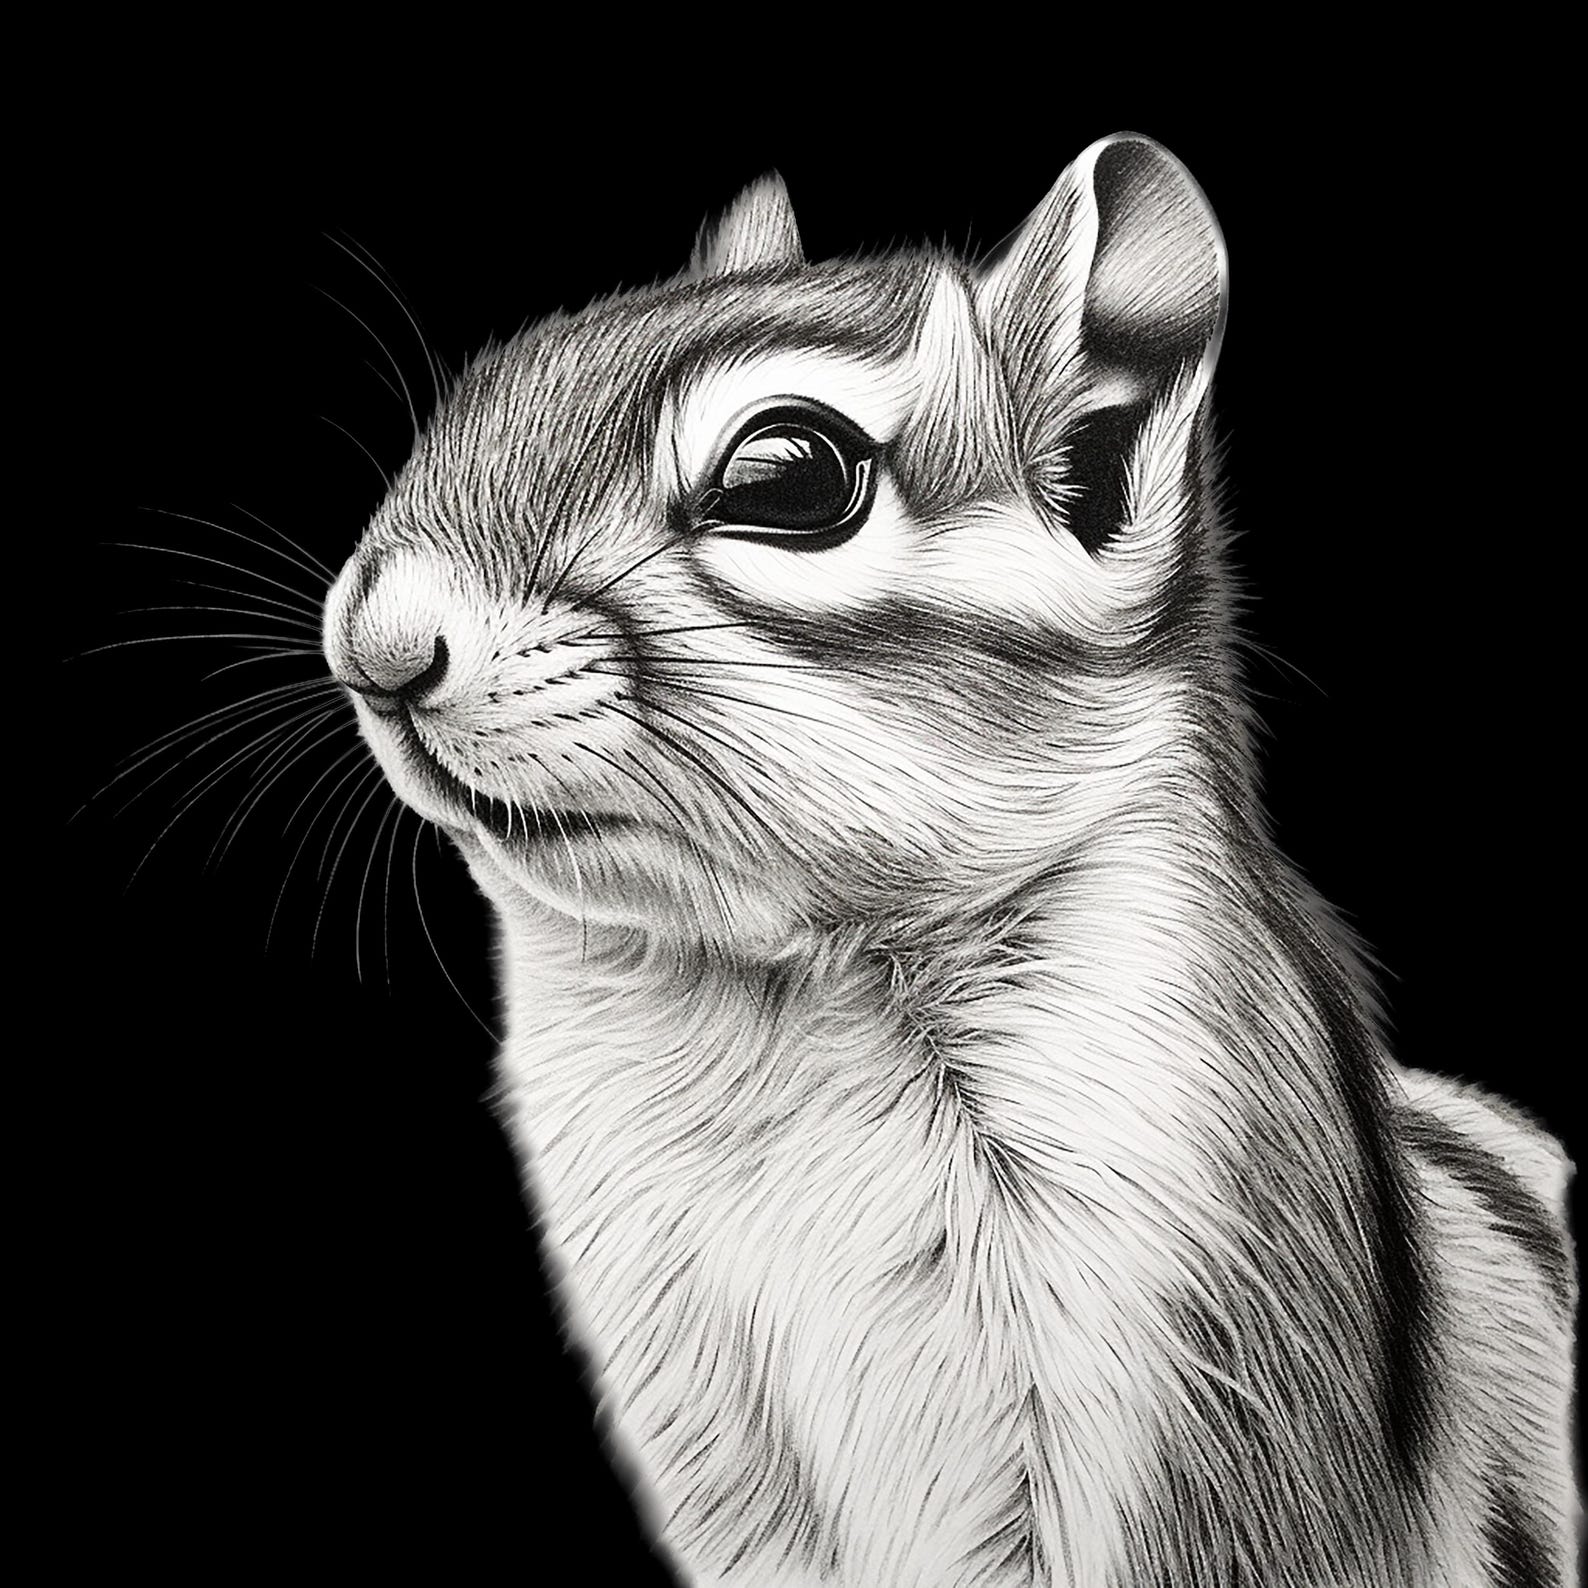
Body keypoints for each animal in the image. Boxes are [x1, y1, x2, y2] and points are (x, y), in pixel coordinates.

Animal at [320, 135, 1577, 1586]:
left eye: (786, 477)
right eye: (494, 377)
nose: (373, 644)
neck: (762, 993)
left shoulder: (1180, 1386)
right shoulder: (707, 1431)